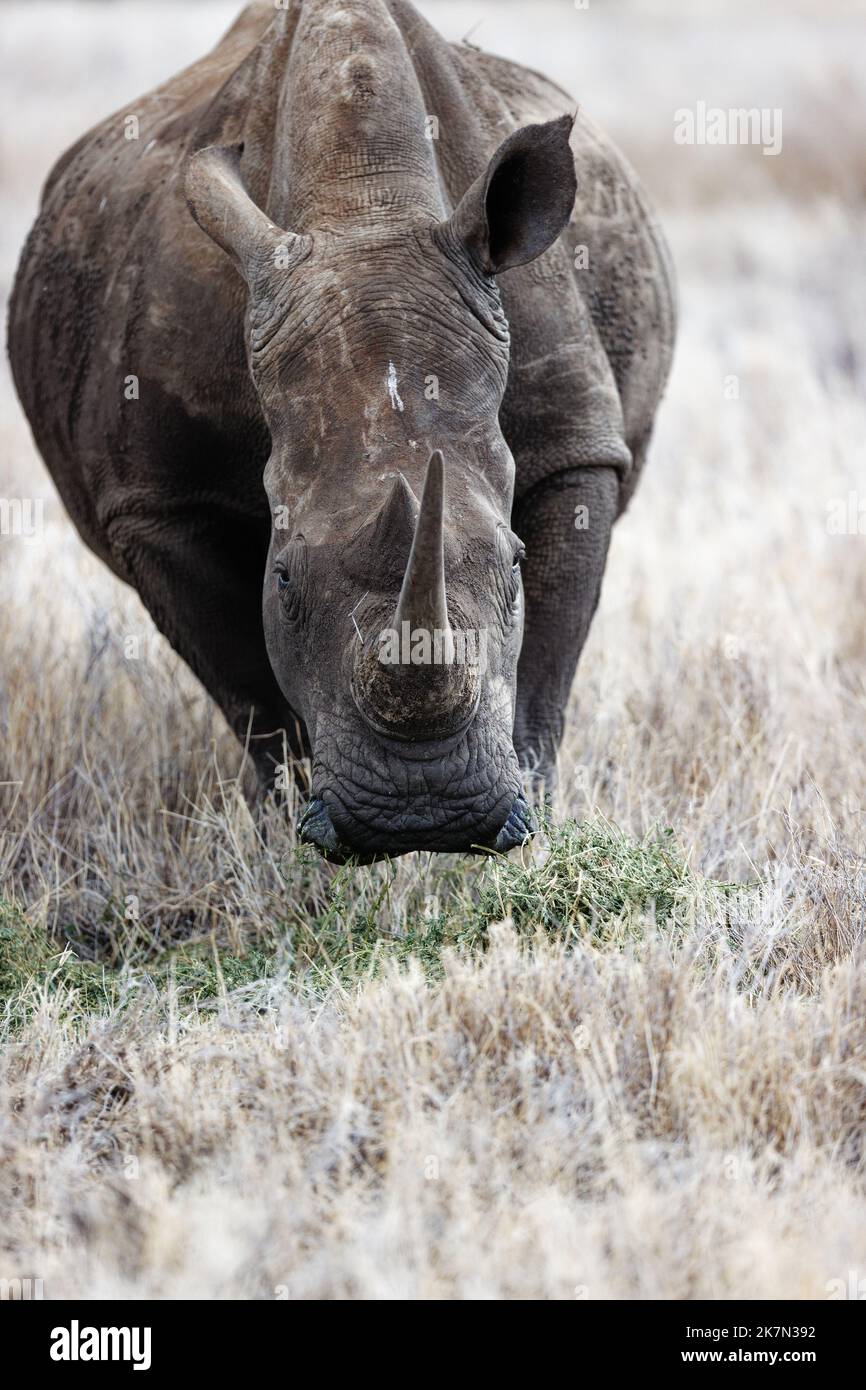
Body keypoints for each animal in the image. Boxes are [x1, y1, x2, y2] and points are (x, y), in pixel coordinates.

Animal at [8, 0, 675, 861]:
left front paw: (534, 818)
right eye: (285, 577)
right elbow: (247, 689)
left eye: (514, 562)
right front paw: (283, 835)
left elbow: (546, 668)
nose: (424, 815)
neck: (366, 210)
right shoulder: (159, 498)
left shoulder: (575, 447)